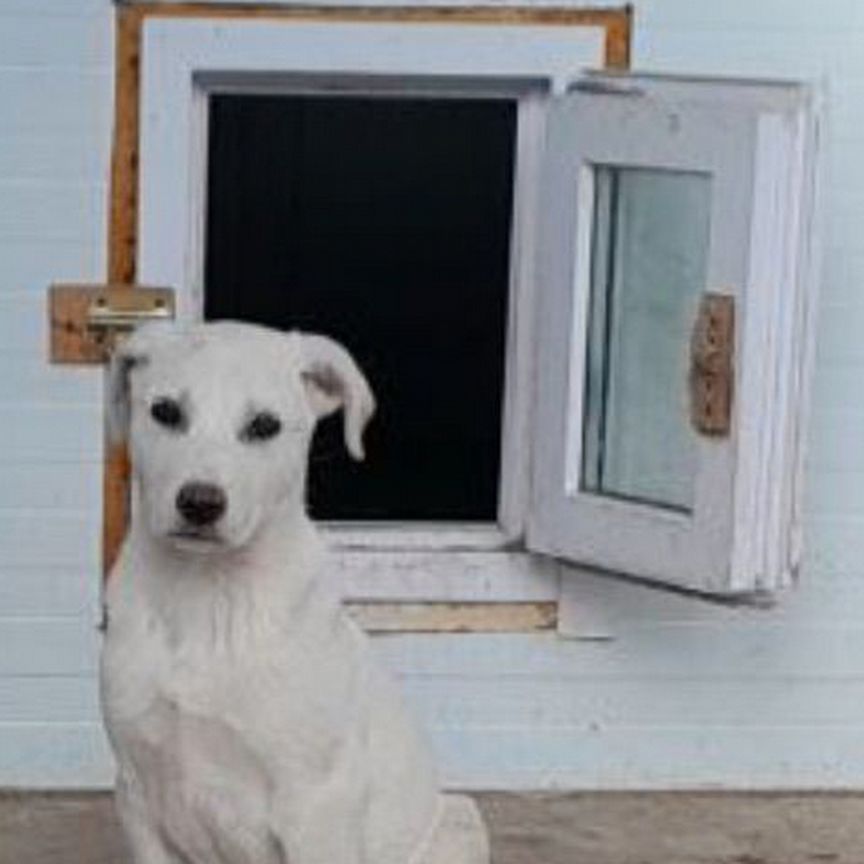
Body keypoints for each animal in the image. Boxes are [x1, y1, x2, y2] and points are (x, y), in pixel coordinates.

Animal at [98, 322, 490, 864]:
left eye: (264, 426)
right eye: (166, 412)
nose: (200, 503)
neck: (210, 599)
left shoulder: (318, 805)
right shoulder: (137, 794)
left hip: (461, 821)